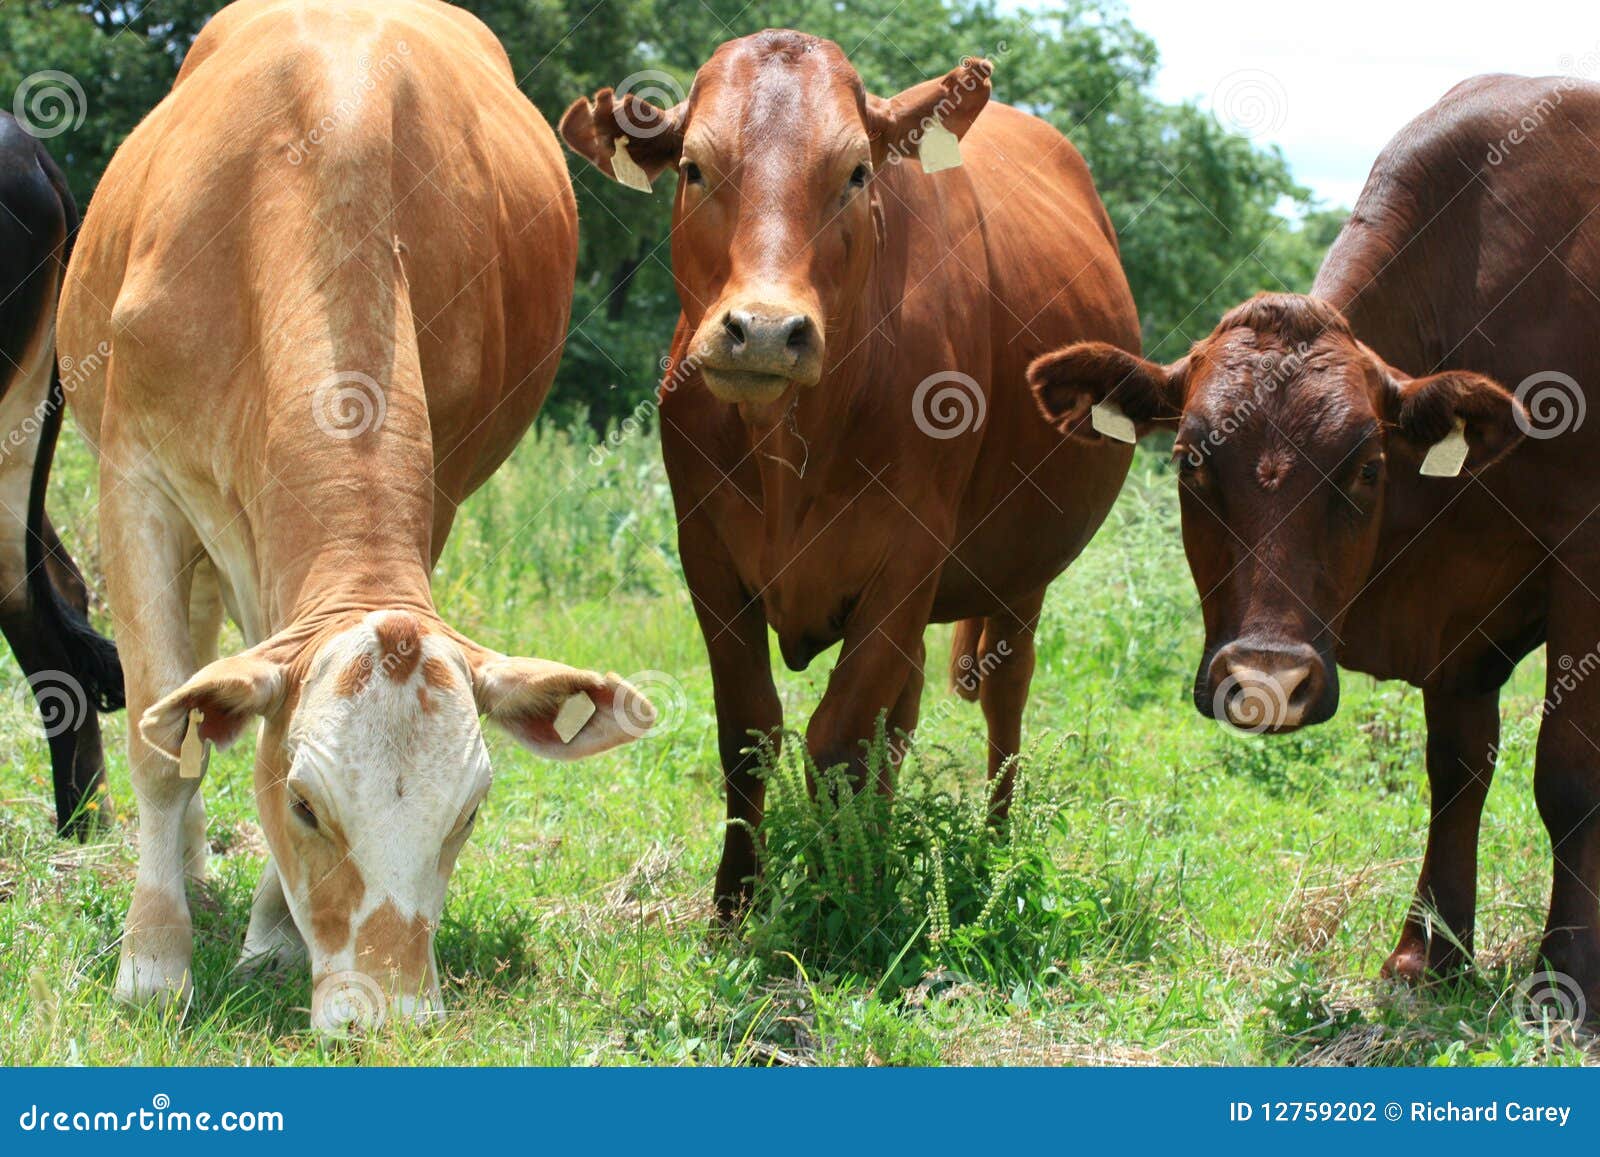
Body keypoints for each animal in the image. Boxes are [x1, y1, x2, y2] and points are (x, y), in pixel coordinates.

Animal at [58, 0, 655, 1031]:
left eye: (468, 813)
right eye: (306, 805)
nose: (386, 1015)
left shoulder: (420, 506)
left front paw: (272, 936)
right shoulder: (135, 479)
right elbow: (162, 740)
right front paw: (154, 961)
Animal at [562, 30, 1140, 918]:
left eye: (858, 173)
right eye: (694, 168)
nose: (766, 332)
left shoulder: (907, 558)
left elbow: (837, 741)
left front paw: (840, 899)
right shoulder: (707, 555)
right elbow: (751, 730)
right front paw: (735, 906)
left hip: (1021, 574)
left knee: (1003, 695)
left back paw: (993, 844)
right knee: (900, 717)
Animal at [1030, 74, 1600, 1011]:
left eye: (1366, 466)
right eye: (1189, 459)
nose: (1268, 680)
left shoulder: (1582, 571)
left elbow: (1569, 773)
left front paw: (1566, 978)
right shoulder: (1460, 626)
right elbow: (1458, 767)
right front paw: (1428, 953)